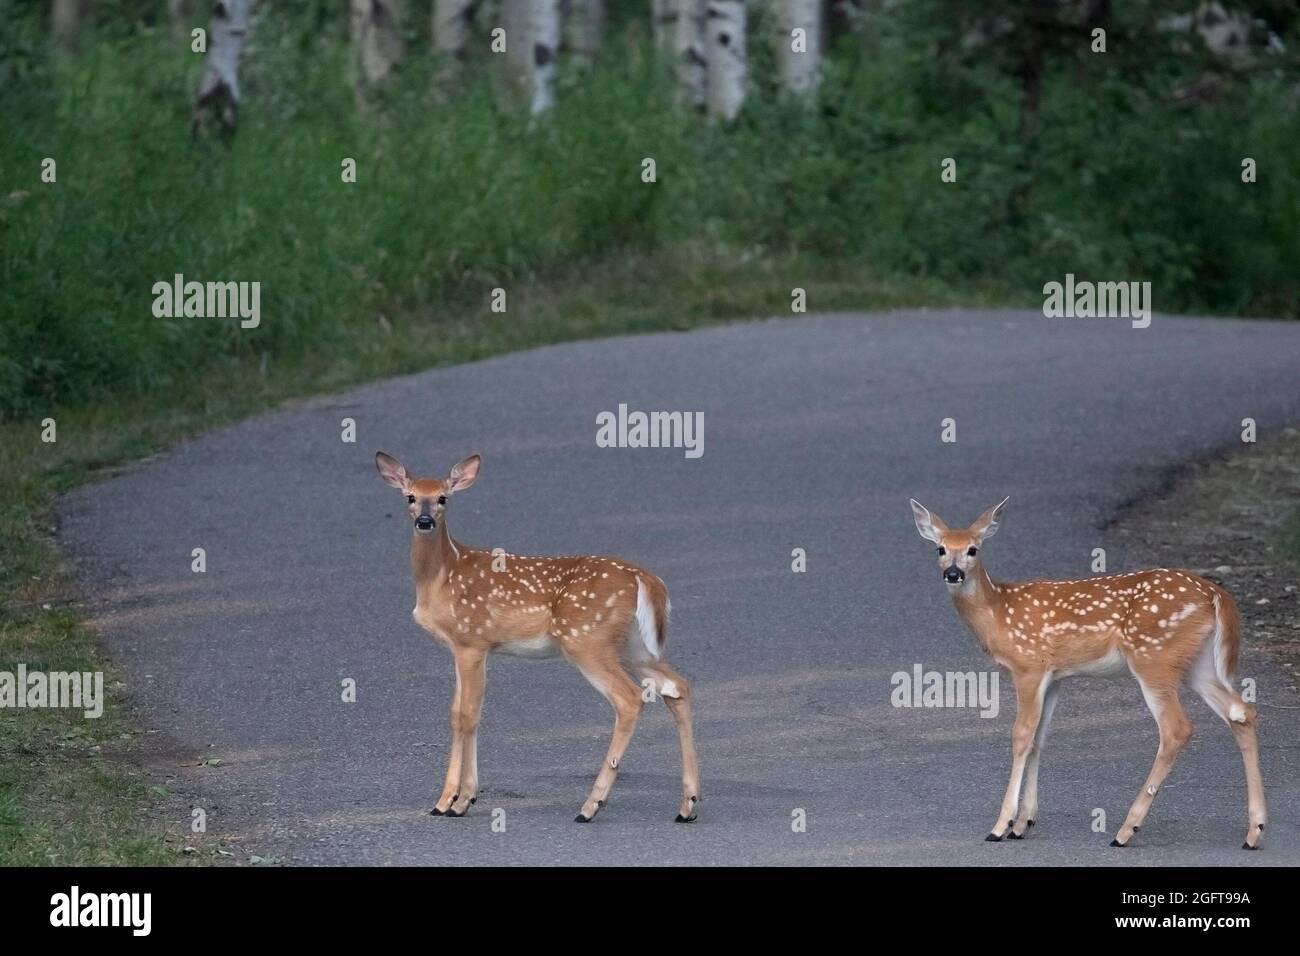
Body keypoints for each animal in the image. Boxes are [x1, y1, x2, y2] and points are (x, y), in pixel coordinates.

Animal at [375, 451, 700, 824]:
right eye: (410, 497)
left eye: (443, 497)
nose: (425, 521)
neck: (442, 576)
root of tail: (645, 579)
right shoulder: (465, 647)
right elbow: (461, 711)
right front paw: (462, 798)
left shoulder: (472, 639)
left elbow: (466, 715)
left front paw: (451, 801)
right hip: (634, 646)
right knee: (677, 687)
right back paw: (687, 805)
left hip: (586, 639)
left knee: (630, 698)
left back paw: (590, 806)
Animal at [908, 497, 1266, 850]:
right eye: (940, 549)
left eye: (973, 549)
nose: (953, 573)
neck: (998, 612)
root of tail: (1216, 595)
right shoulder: (1055, 676)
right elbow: (1039, 738)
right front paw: (1024, 823)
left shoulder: (1029, 666)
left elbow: (1021, 736)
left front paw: (1001, 825)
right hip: (1196, 662)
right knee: (1241, 712)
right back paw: (1254, 830)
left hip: (1153, 657)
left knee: (1177, 728)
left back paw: (1126, 830)